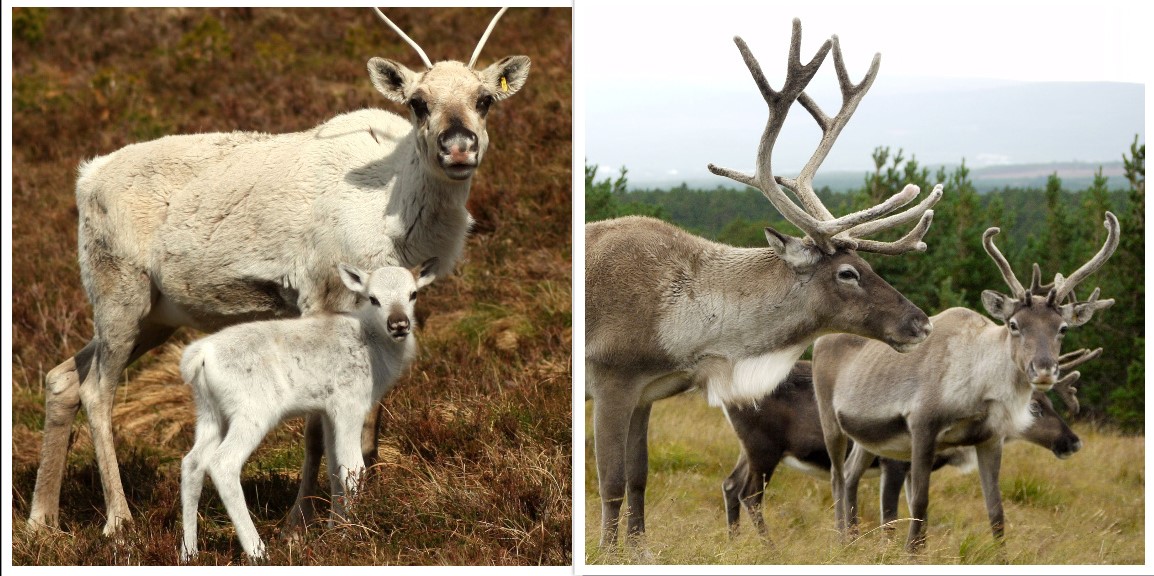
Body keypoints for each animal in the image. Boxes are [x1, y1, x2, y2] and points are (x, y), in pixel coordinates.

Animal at [28, 8, 530, 536]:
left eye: (485, 99)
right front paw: (301, 521)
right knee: (96, 390)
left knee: (62, 377)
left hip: (157, 314)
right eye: (418, 102)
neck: (400, 219)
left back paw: (42, 520)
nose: (459, 147)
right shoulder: (323, 295)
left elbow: (370, 423)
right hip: (118, 291)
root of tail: (85, 178)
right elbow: (316, 431)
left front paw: (361, 509)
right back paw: (118, 521)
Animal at [585, 18, 944, 547]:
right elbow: (609, 482)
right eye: (848, 273)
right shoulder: (611, 380)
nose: (921, 323)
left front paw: (637, 550)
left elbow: (638, 478)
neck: (686, 327)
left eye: (865, 264)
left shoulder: (647, 393)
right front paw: (609, 551)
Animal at [722, 352, 1092, 538]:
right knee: (750, 495)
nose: (1072, 441)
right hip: (764, 447)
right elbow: (890, 514)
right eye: (1037, 407)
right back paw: (768, 548)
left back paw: (735, 541)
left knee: (730, 485)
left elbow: (914, 508)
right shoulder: (895, 461)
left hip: (747, 448)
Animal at [812, 212, 1119, 552]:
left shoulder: (990, 439)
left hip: (868, 437)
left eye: (1062, 328)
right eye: (1014, 324)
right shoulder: (922, 426)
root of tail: (821, 338)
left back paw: (852, 539)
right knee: (837, 478)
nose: (1043, 370)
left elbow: (996, 511)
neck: (978, 390)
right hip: (830, 419)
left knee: (851, 474)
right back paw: (841, 539)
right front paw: (911, 552)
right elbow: (919, 504)